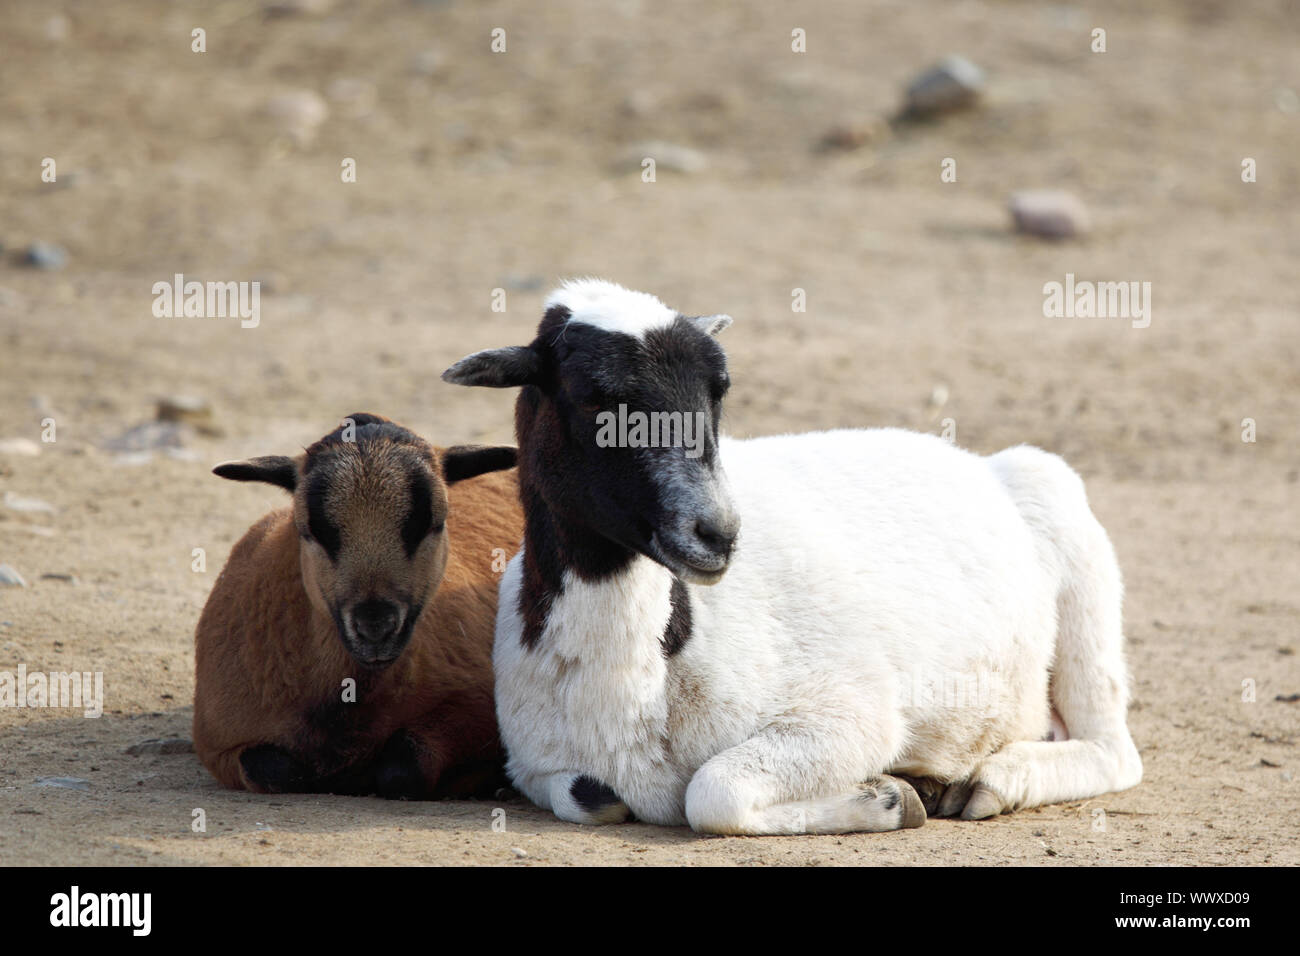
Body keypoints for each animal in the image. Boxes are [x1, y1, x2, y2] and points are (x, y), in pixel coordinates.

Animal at [192, 413, 522, 799]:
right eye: (311, 529)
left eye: (434, 523)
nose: (375, 627)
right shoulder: (220, 746)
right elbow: (274, 771)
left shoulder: (477, 706)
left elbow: (403, 767)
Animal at [441, 278, 1143, 834]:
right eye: (594, 396)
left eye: (719, 391)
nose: (719, 533)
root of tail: (971, 457)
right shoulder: (537, 766)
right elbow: (591, 796)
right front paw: (895, 792)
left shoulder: (848, 714)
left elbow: (713, 794)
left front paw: (887, 798)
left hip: (1070, 540)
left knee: (1113, 748)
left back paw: (994, 779)